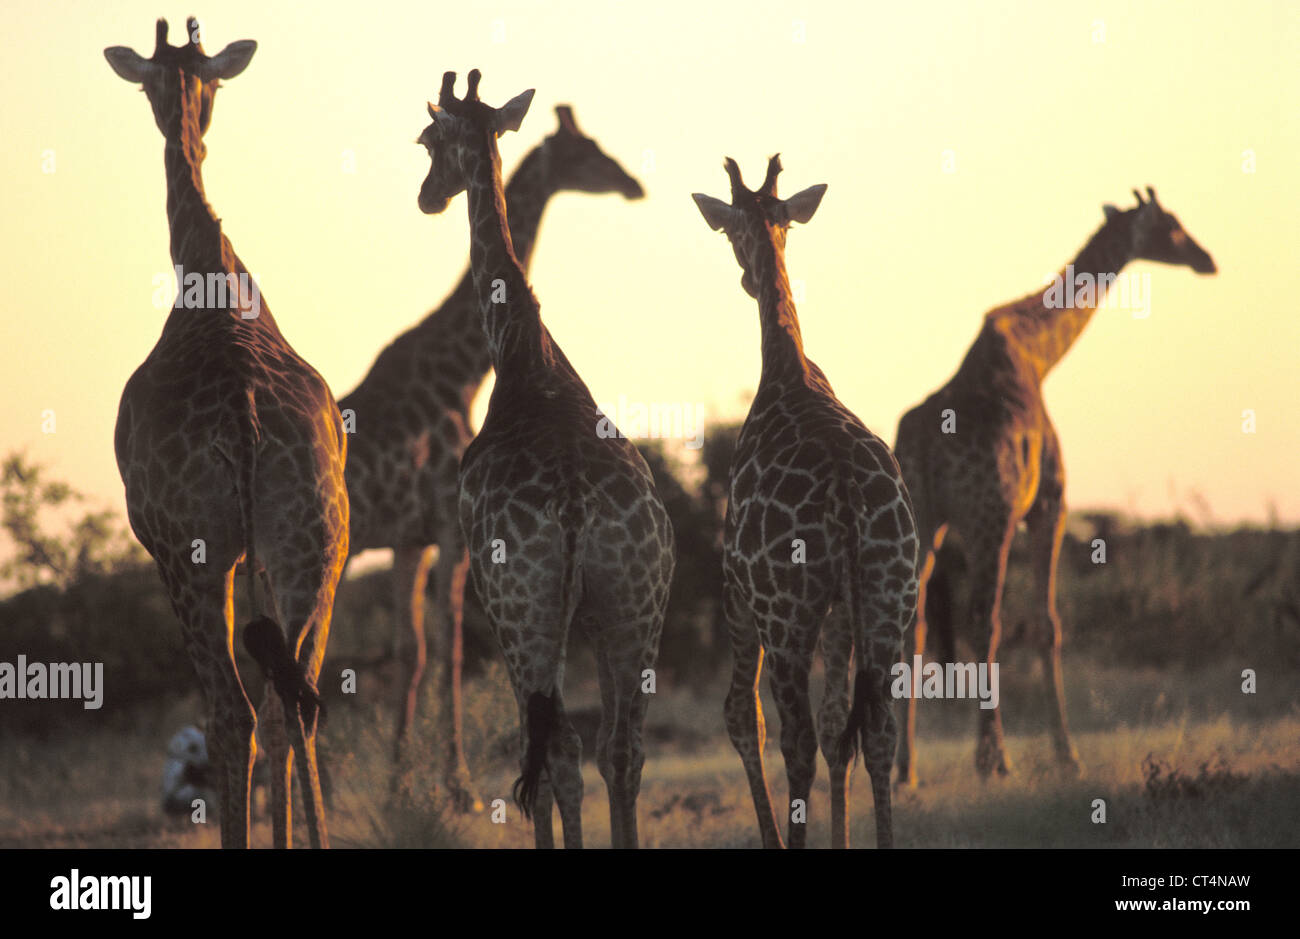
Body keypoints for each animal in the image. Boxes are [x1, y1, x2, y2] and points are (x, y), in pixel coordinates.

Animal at [105, 18, 348, 848]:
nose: (189, 122)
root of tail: (243, 416)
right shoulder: (262, 555)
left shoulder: (186, 550)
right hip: (315, 543)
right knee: (296, 700)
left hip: (191, 558)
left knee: (232, 711)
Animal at [338, 106, 644, 812]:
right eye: (588, 152)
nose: (632, 185)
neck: (462, 373)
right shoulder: (448, 531)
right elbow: (446, 647)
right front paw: (456, 788)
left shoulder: (411, 538)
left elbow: (413, 651)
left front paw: (402, 784)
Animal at [415, 70, 674, 848]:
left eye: (427, 139)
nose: (428, 195)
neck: (525, 355)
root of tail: (576, 506)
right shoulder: (595, 612)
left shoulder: (500, 600)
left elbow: (542, 754)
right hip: (636, 605)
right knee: (623, 749)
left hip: (524, 610)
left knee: (556, 748)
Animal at [693, 156, 919, 849]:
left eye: (727, 230)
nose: (747, 276)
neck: (788, 369)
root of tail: (845, 493)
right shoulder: (844, 607)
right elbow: (838, 721)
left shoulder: (737, 590)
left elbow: (744, 717)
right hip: (890, 599)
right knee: (875, 730)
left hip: (785, 613)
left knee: (790, 739)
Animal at [893, 188, 1217, 786]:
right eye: (1172, 225)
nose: (1207, 259)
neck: (1041, 356)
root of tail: (922, 447)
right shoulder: (1050, 504)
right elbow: (1047, 624)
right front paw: (1068, 754)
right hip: (987, 518)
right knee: (984, 620)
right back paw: (993, 758)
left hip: (921, 518)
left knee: (914, 621)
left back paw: (907, 769)